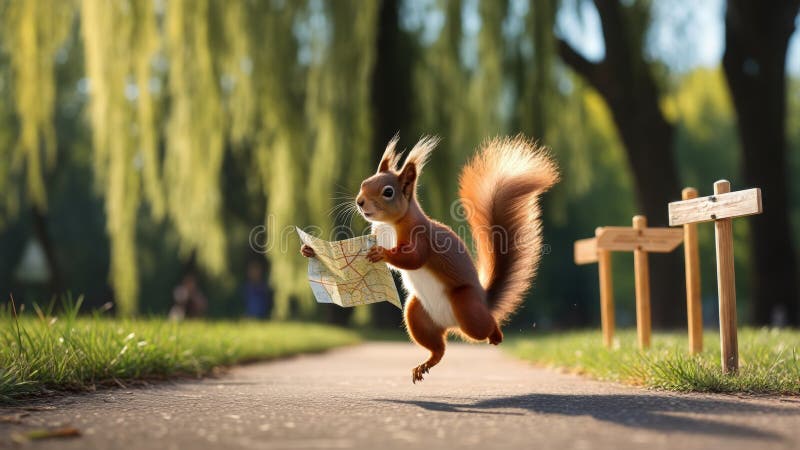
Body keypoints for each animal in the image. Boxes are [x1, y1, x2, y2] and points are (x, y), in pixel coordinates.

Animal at [301, 135, 559, 383]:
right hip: (416, 315)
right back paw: (425, 364)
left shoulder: (420, 236)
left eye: (388, 192)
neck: (390, 224)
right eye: (364, 182)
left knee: (482, 325)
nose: (360, 201)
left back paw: (495, 334)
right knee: (439, 348)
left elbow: (413, 259)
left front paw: (382, 253)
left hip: (466, 306)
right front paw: (309, 250)